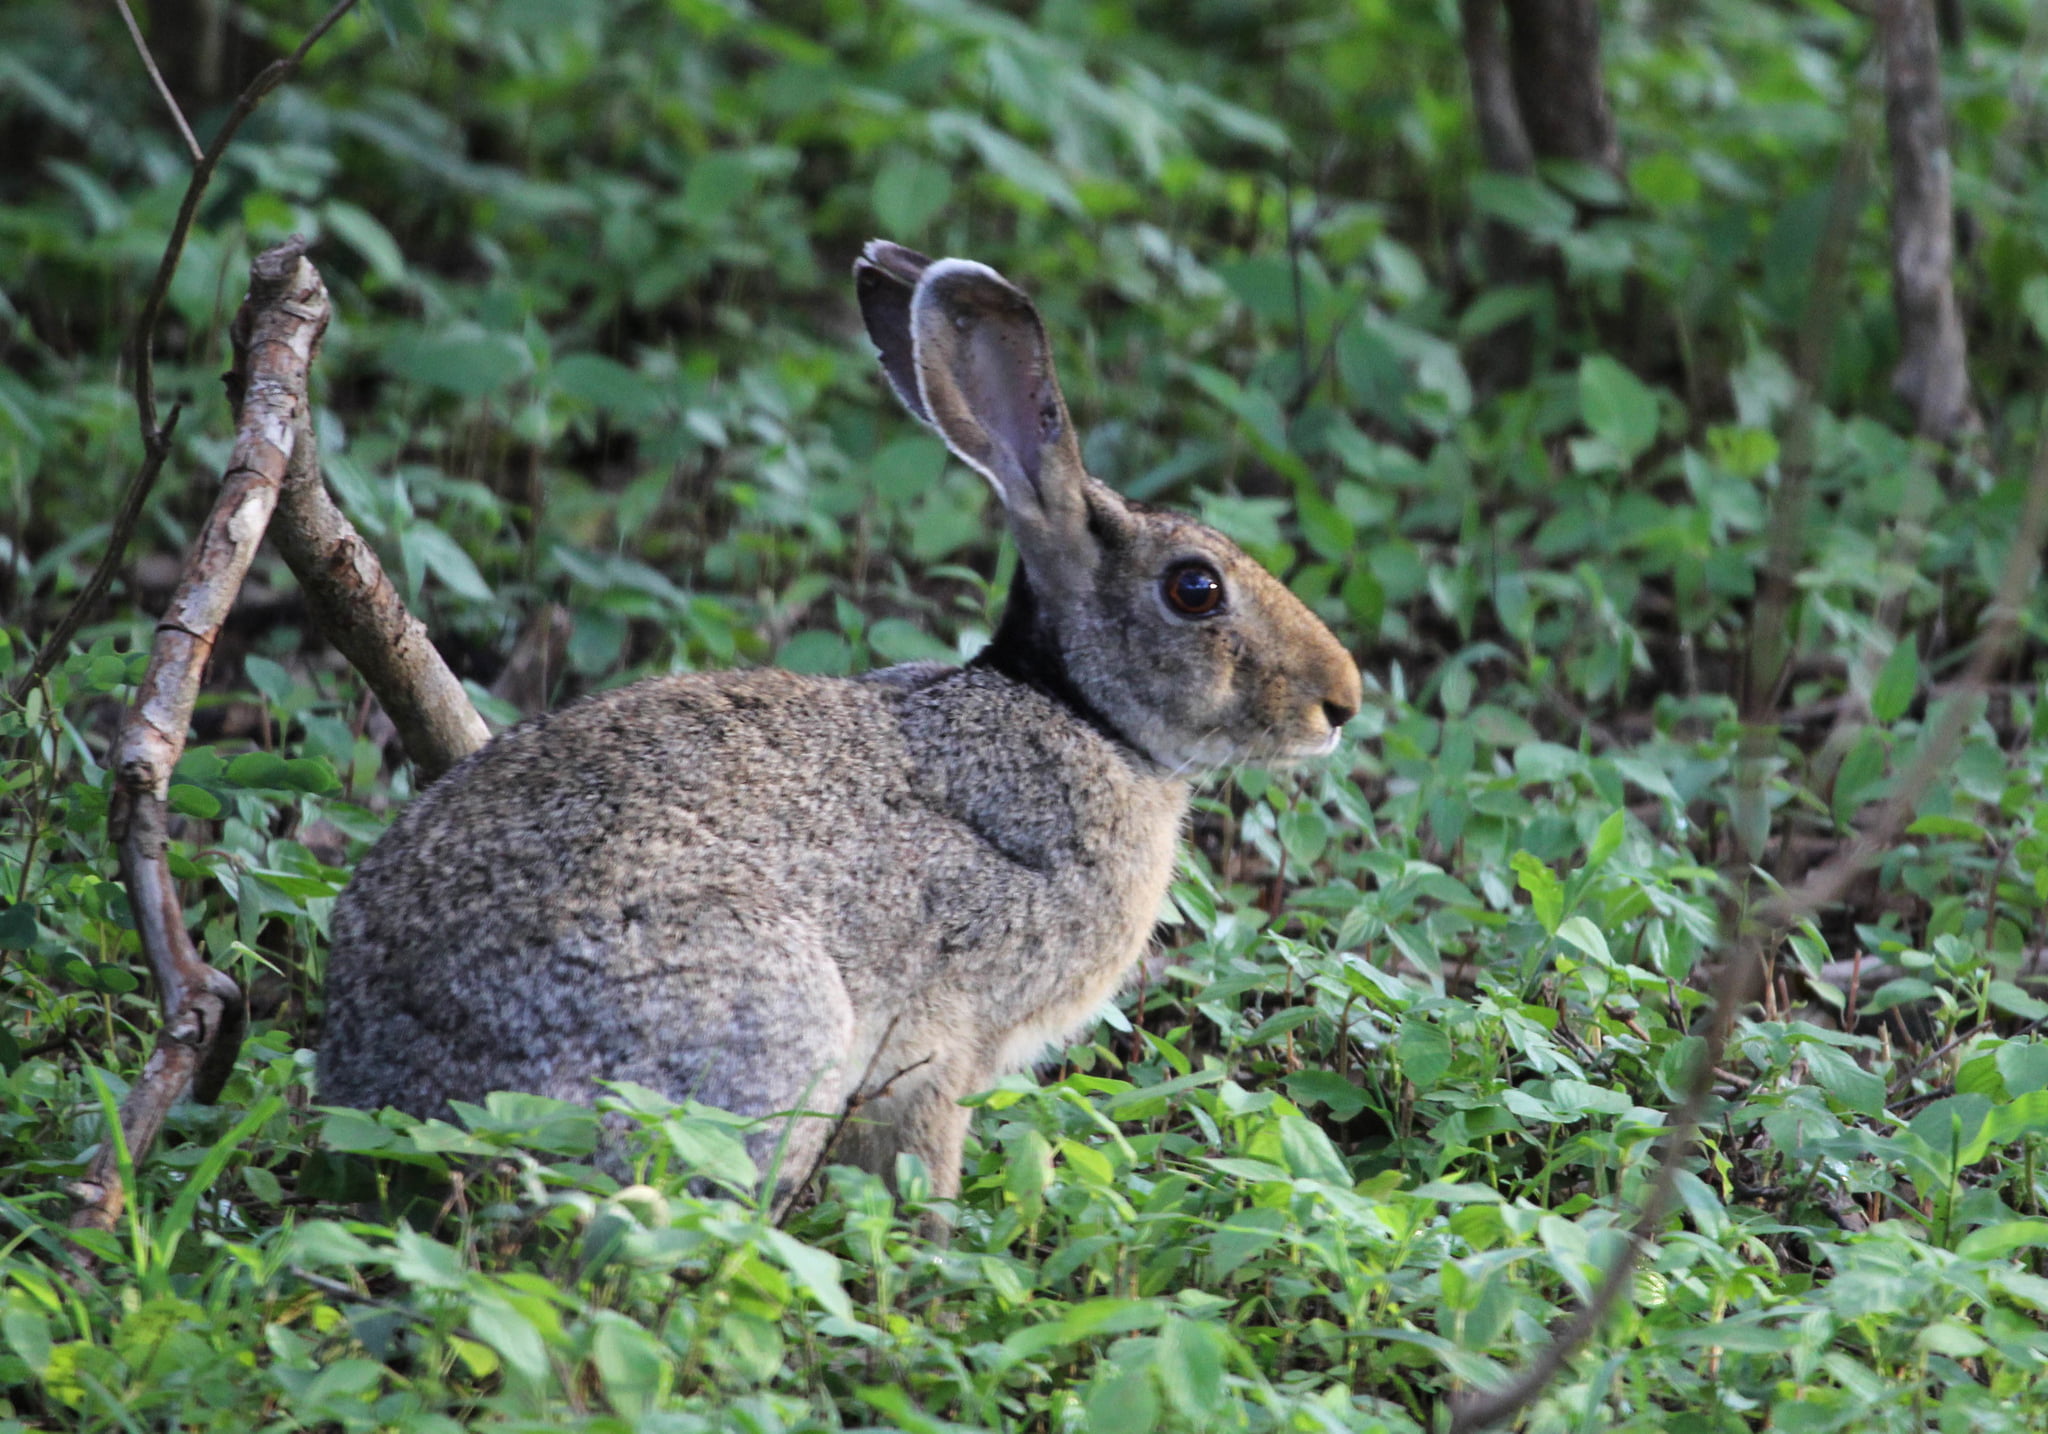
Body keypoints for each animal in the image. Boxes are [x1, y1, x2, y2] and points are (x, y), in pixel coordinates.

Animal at [317, 239, 1363, 1232]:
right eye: (1196, 589)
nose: (1342, 701)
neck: (1080, 711)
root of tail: (389, 1089)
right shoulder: (942, 1039)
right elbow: (924, 1160)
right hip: (765, 1018)